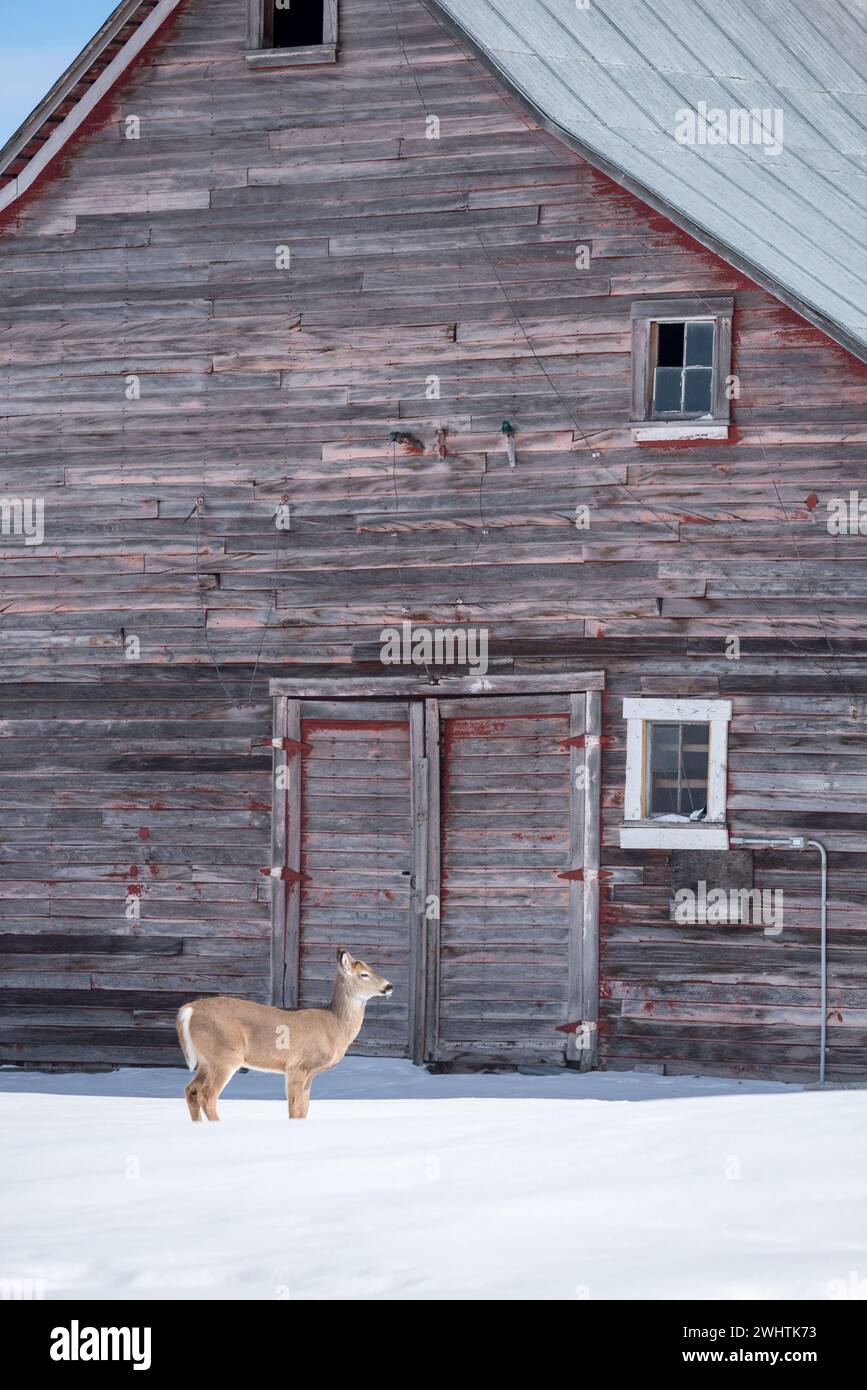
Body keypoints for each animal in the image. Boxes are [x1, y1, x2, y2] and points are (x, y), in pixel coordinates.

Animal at [176, 948, 392, 1121]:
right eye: (364, 974)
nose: (389, 986)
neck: (334, 1024)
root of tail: (188, 1010)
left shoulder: (310, 1073)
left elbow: (304, 1109)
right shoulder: (297, 1065)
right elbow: (295, 1110)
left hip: (206, 1060)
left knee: (191, 1090)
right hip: (225, 1055)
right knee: (207, 1095)